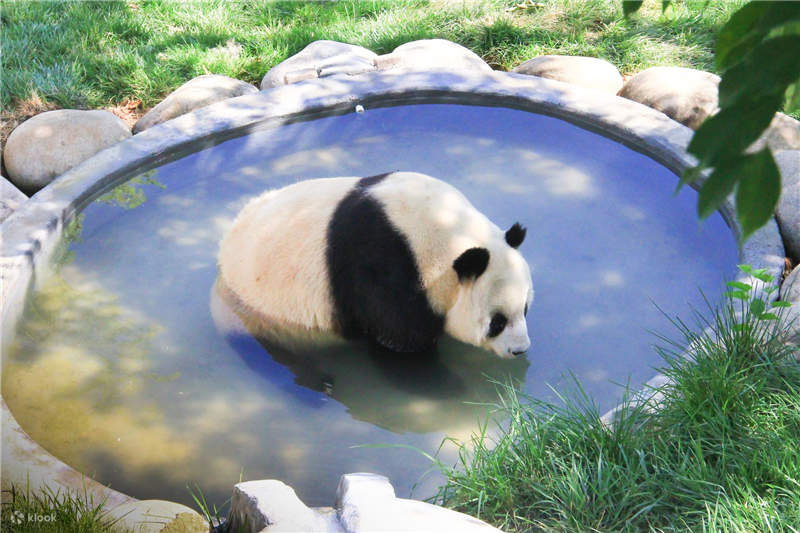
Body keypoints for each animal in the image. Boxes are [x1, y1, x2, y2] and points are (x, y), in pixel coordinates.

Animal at [217, 171, 534, 358]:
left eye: (526, 308)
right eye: (497, 321)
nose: (520, 349)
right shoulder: (387, 271)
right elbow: (400, 340)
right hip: (259, 315)